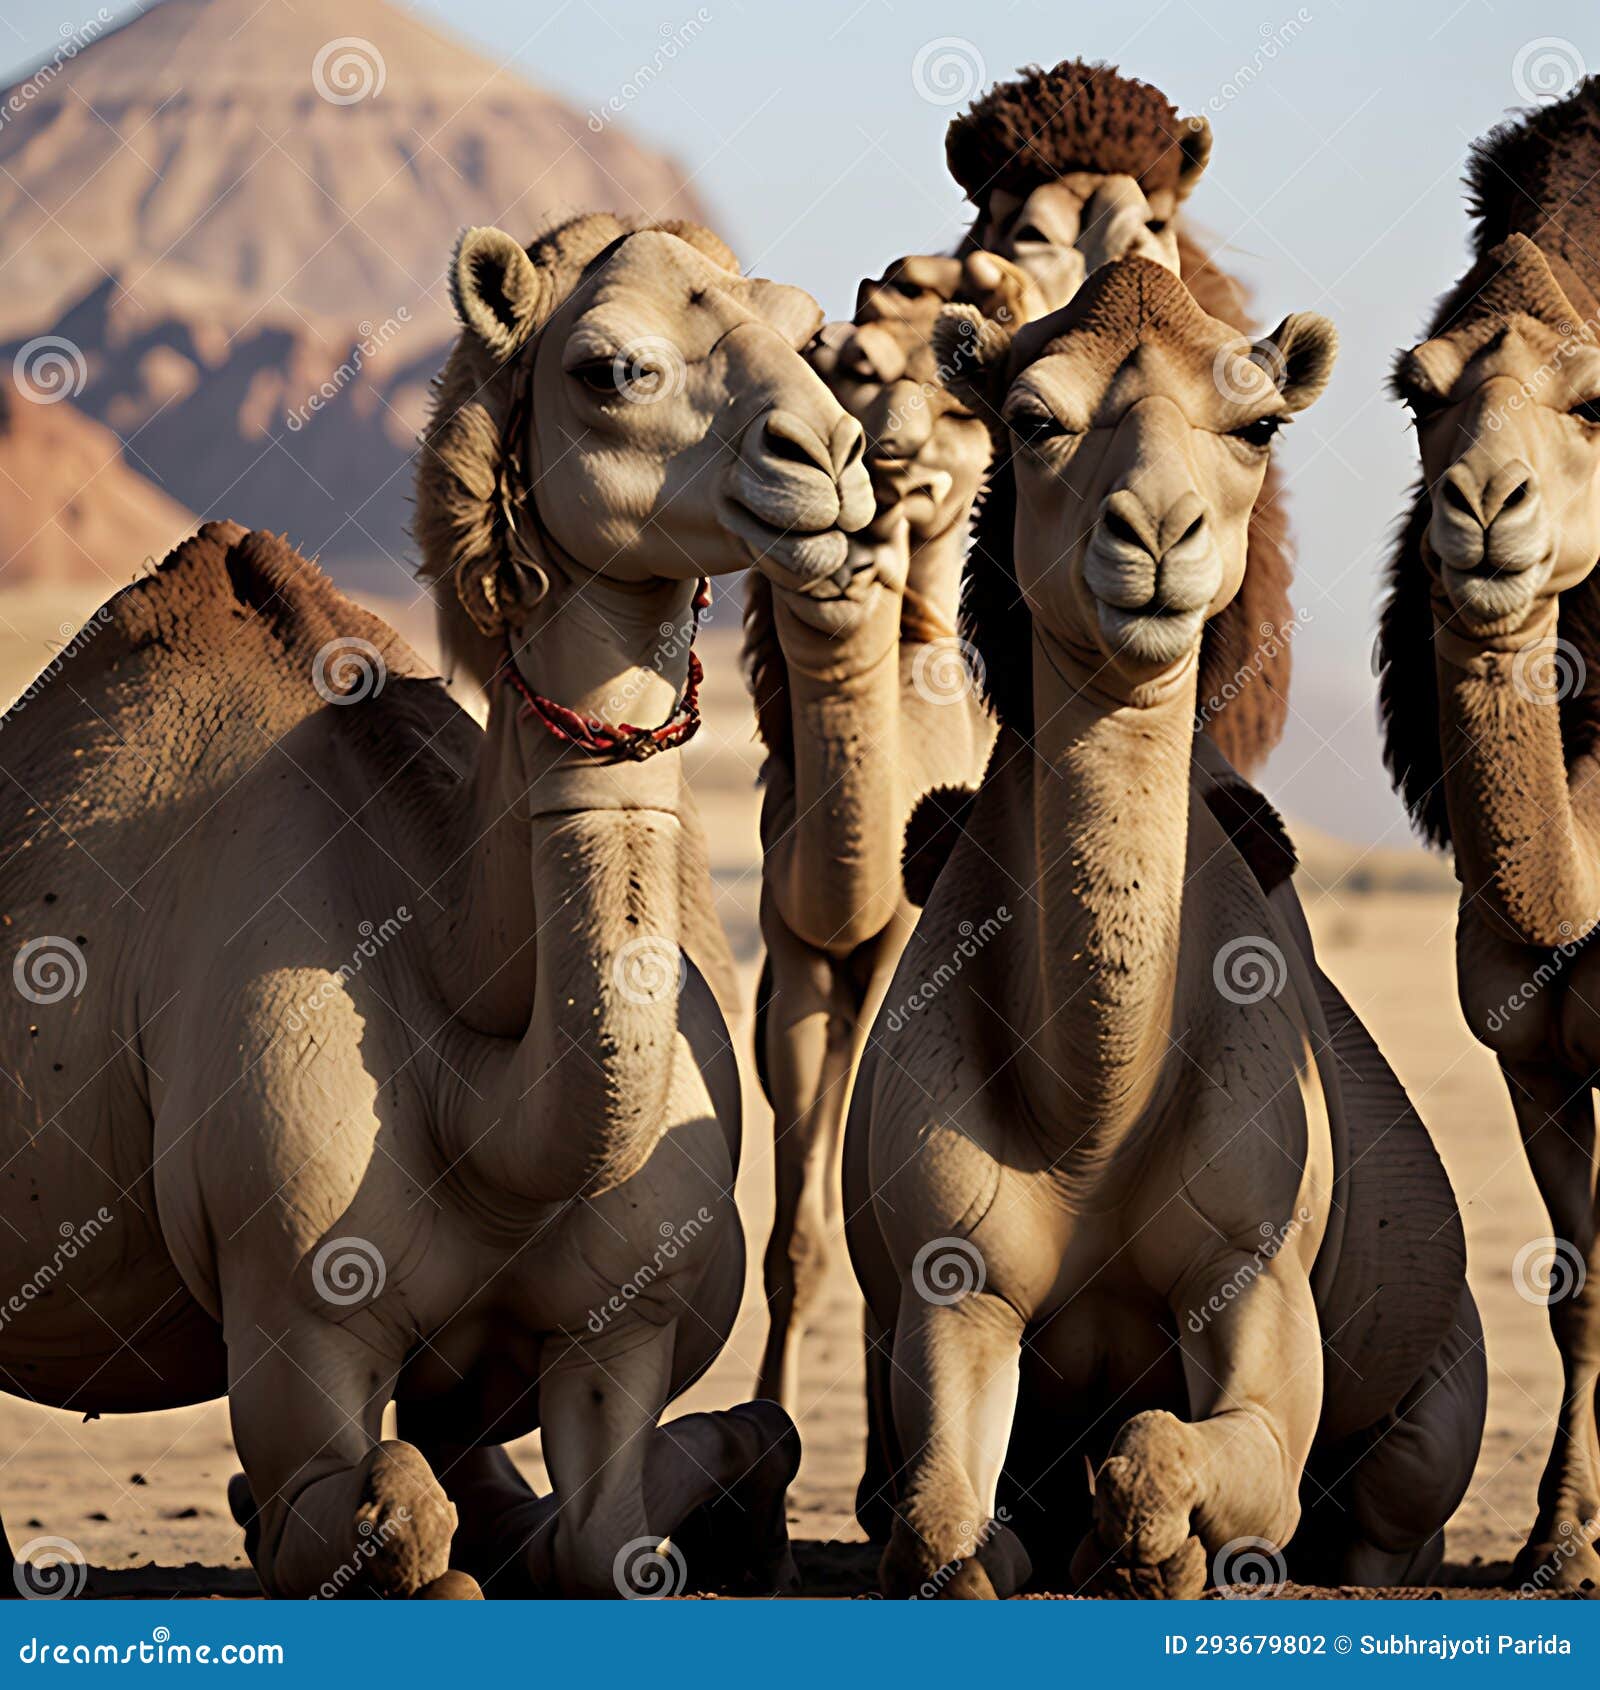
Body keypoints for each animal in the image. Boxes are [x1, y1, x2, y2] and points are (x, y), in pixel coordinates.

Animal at [0, 212, 873, 1599]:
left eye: (805, 331)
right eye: (607, 368)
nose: (830, 457)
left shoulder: (622, 1329)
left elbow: (622, 1525)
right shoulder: (300, 1316)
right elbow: (390, 1506)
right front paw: (310, 1525)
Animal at [844, 257, 1486, 1599]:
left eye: (1259, 425)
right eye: (1031, 417)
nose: (1154, 534)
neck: (1092, 1115)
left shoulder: (1253, 1270)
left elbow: (1179, 1463)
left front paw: (1149, 1550)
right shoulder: (949, 1290)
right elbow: (933, 1513)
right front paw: (1022, 1539)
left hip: (1433, 1406)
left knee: (1387, 1505)